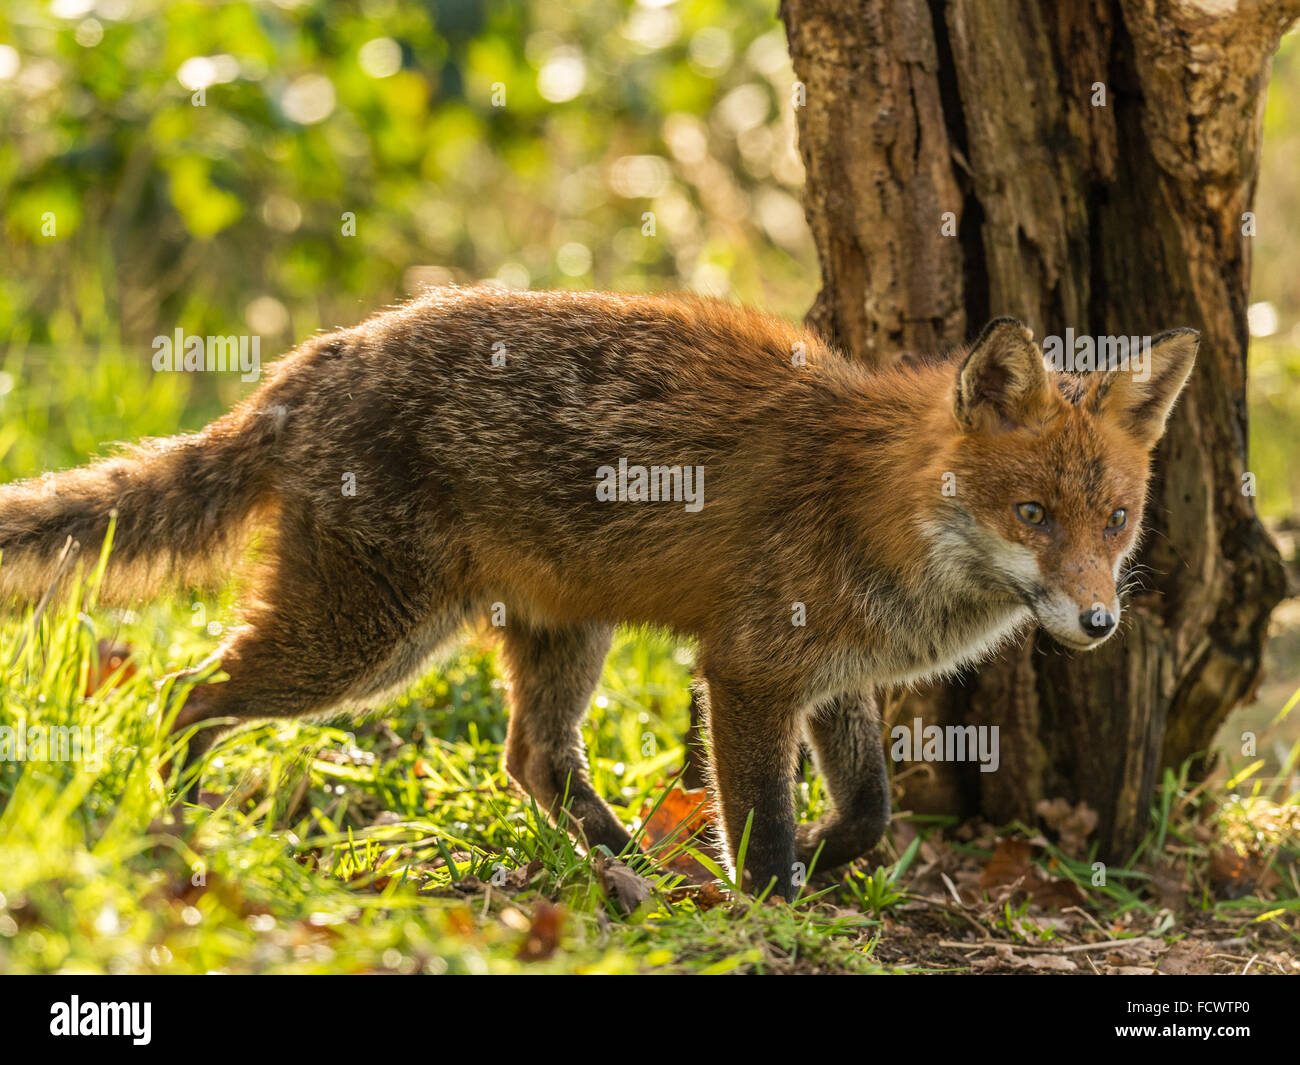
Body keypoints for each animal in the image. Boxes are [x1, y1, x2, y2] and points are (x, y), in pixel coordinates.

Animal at [0, 287, 1197, 899]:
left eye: (1114, 520)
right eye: (1032, 516)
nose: (1097, 620)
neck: (887, 511)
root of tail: (309, 362)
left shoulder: (831, 673)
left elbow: (868, 809)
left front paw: (820, 865)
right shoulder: (749, 671)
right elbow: (762, 824)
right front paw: (773, 911)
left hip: (561, 635)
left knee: (531, 759)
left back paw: (630, 868)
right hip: (365, 644)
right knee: (185, 690)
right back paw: (175, 822)